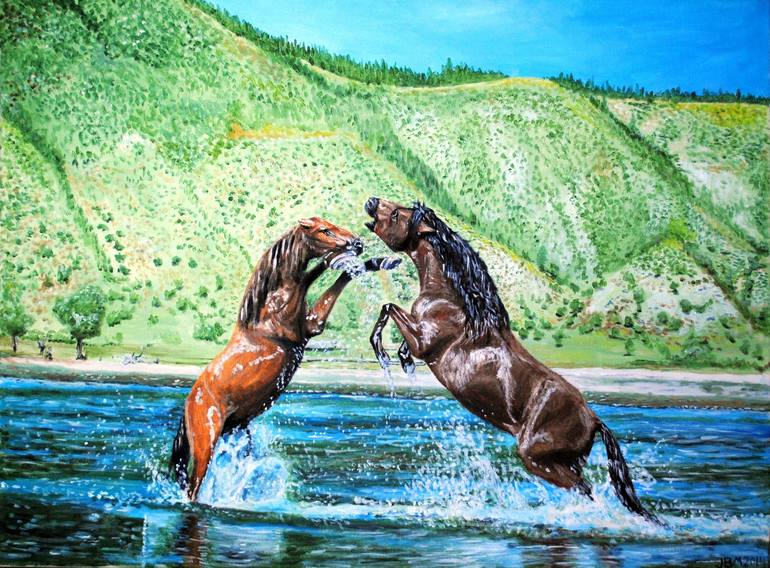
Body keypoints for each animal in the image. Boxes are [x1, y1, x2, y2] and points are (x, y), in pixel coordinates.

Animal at [170, 217, 399, 500]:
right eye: (324, 230)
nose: (357, 243)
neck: (266, 306)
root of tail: (189, 406)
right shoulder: (302, 327)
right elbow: (312, 277)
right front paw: (343, 259)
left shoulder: (309, 323)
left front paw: (381, 261)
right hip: (205, 445)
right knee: (194, 487)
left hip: (236, 429)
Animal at [364, 197, 660, 523]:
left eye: (396, 213)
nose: (372, 202)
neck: (453, 300)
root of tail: (594, 419)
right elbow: (393, 317)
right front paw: (402, 360)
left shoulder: (425, 341)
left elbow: (389, 308)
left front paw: (387, 355)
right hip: (566, 460)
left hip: (537, 457)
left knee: (586, 489)